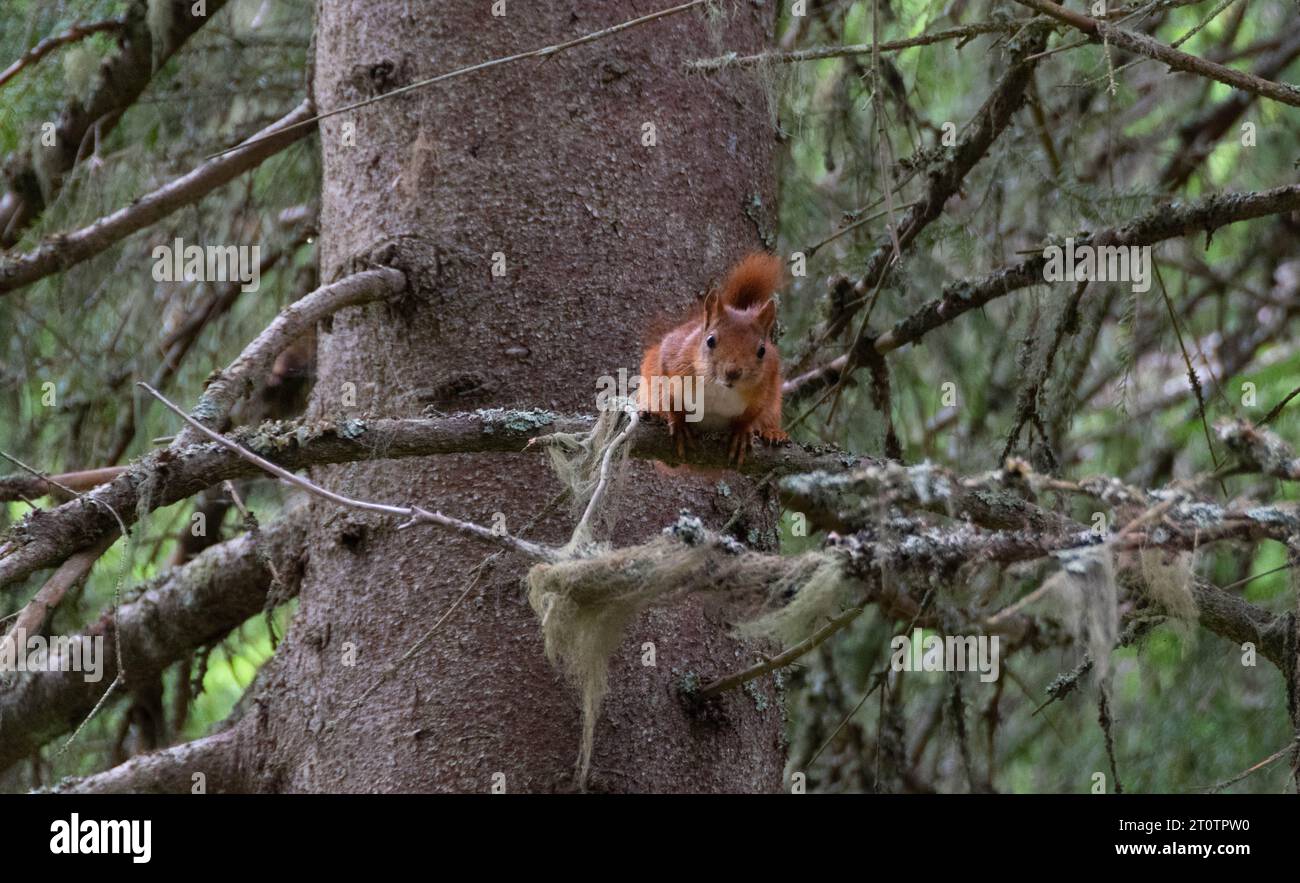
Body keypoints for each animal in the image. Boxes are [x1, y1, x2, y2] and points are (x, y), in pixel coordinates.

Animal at [637, 252, 788, 466]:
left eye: (762, 350)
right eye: (710, 340)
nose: (733, 372)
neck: (720, 388)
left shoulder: (765, 386)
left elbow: (751, 415)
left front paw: (741, 432)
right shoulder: (672, 359)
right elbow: (670, 398)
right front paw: (678, 423)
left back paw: (772, 432)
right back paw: (652, 412)